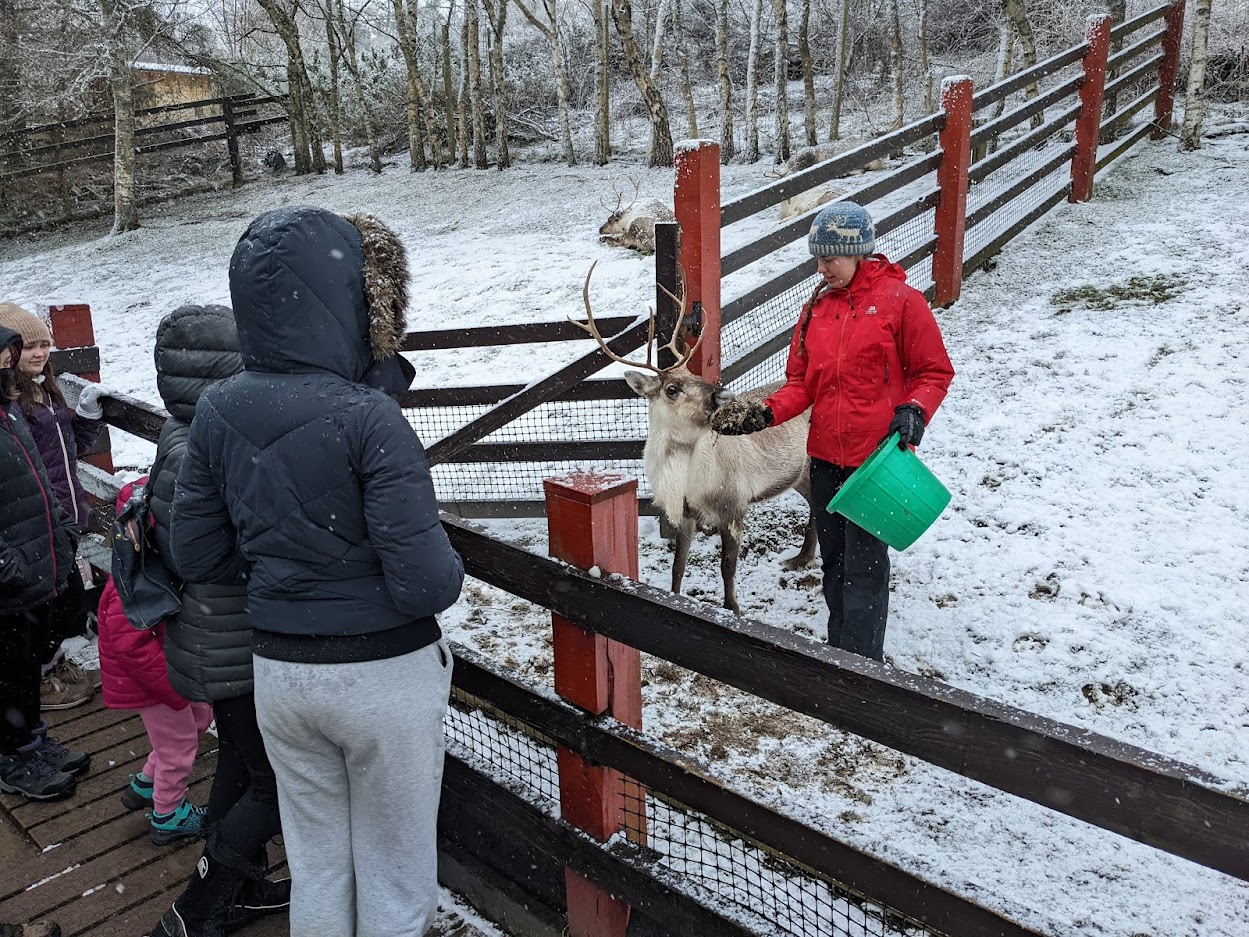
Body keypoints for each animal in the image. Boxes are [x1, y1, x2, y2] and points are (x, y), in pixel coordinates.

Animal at [574, 264, 818, 614]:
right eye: (672, 388)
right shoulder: (685, 514)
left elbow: (727, 567)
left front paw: (733, 609)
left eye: (695, 372)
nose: (721, 393)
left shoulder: (734, 504)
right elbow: (678, 567)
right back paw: (802, 558)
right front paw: (676, 597)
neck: (693, 484)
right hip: (799, 473)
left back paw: (803, 558)